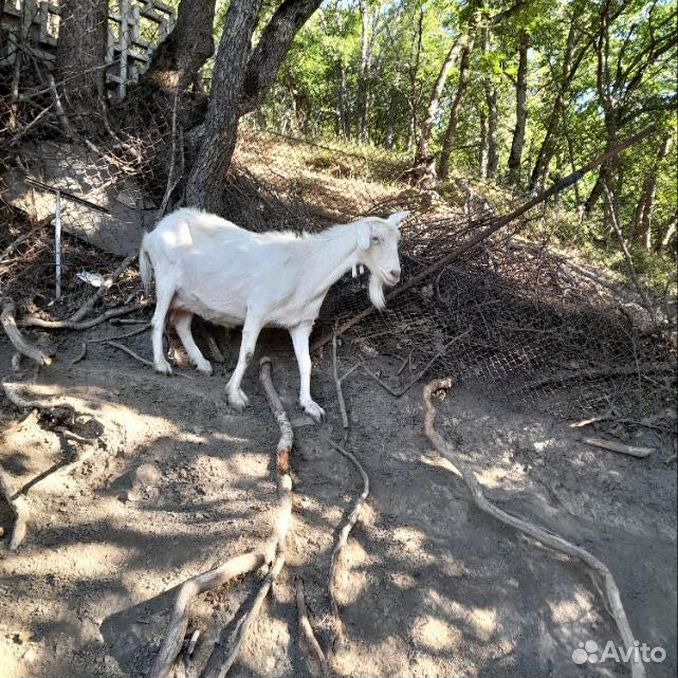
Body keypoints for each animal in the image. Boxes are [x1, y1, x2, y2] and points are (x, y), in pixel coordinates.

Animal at [138, 209, 410, 420]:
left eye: (397, 239)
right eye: (375, 238)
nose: (395, 274)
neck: (306, 268)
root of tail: (153, 233)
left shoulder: (302, 323)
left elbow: (306, 362)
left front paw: (310, 405)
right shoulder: (257, 309)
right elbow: (247, 353)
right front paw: (234, 395)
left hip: (187, 297)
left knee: (181, 323)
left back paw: (202, 363)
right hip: (166, 281)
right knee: (158, 321)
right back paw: (162, 365)